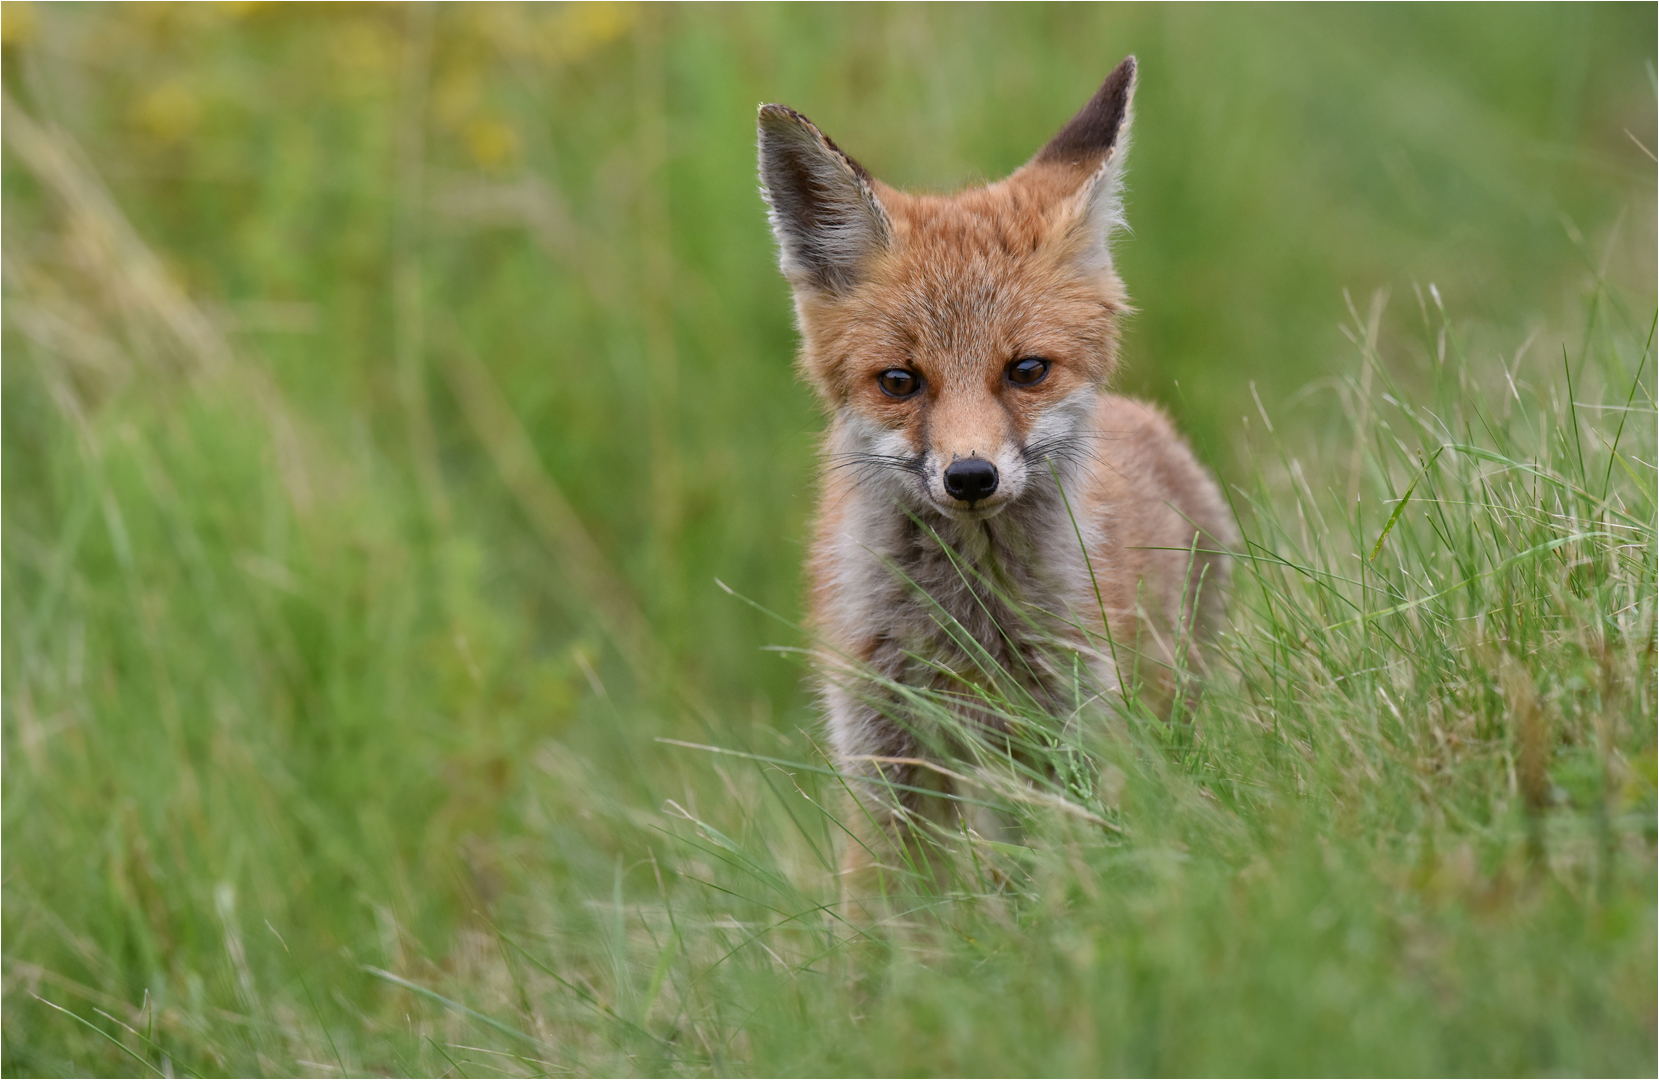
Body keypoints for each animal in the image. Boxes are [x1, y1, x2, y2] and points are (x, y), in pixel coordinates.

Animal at [757, 56, 1236, 898]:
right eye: (899, 381)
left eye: (1026, 371)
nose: (971, 476)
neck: (967, 624)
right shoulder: (882, 757)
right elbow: (890, 919)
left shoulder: (1072, 735)